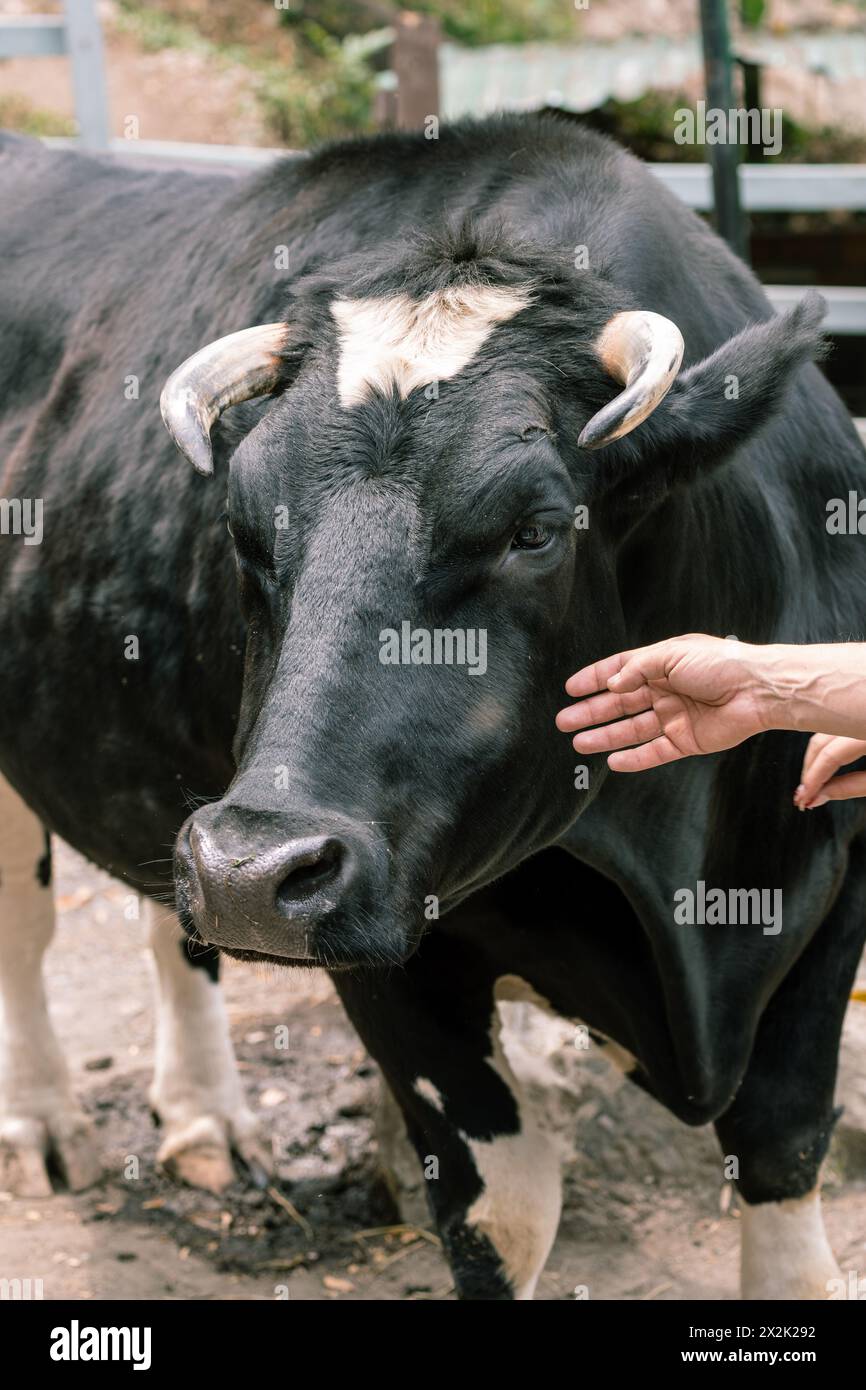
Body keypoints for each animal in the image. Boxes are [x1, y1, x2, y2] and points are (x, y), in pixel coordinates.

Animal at [0, 113, 864, 1300]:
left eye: (536, 528)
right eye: (239, 530)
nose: (250, 873)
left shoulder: (837, 876)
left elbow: (784, 1159)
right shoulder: (393, 939)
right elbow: (505, 1212)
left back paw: (205, 1124)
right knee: (24, 919)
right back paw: (43, 1122)